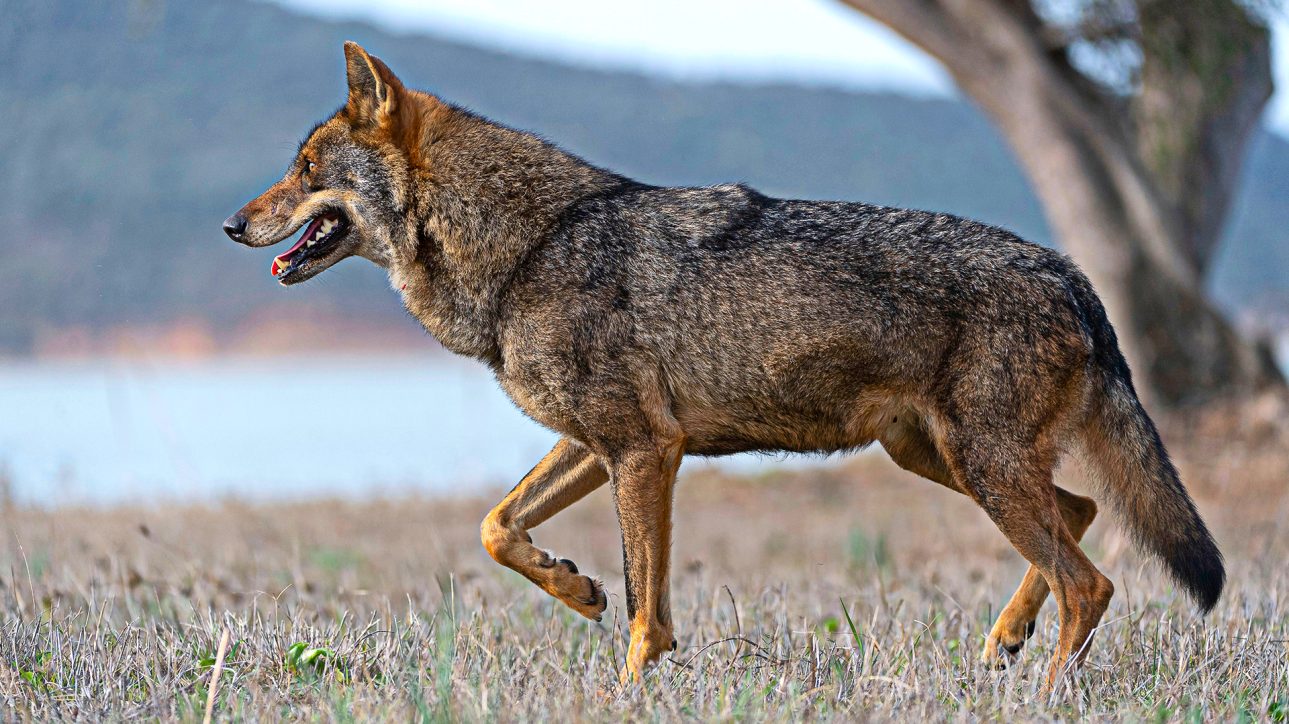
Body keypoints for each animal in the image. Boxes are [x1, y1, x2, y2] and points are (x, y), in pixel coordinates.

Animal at [223, 42, 1223, 684]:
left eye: (304, 169)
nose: (232, 224)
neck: (529, 247)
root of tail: (1072, 274)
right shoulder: (599, 446)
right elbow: (498, 528)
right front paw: (575, 588)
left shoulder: (642, 452)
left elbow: (644, 608)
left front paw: (630, 687)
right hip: (938, 458)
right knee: (1083, 515)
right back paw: (1003, 644)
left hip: (977, 466)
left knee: (1089, 581)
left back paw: (1042, 690)